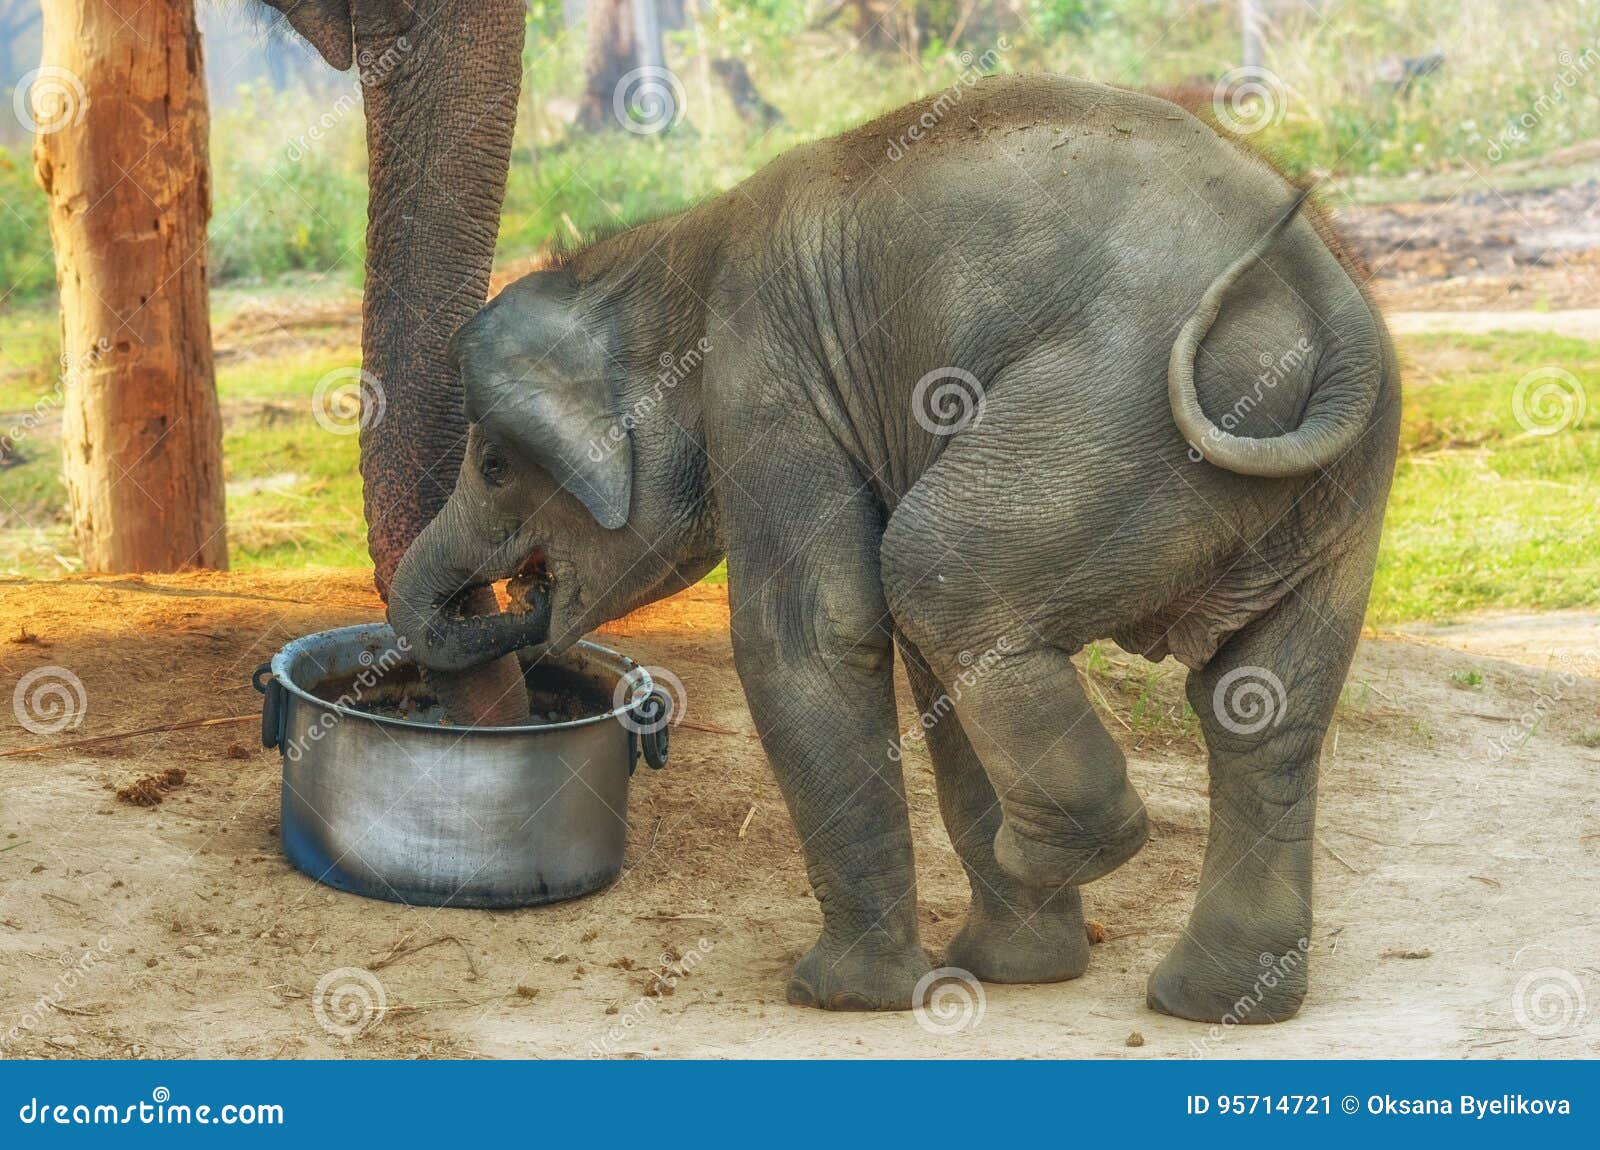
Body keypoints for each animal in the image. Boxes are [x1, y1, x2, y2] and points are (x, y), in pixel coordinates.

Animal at [384, 72, 1401, 1024]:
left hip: (1126, 421)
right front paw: (1013, 973)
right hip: (1330, 485)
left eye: (493, 466)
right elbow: (916, 666)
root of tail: (1317, 285)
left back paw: (1065, 857)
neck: (672, 242)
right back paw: (1211, 999)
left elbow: (813, 635)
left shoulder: (766, 371)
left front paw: (841, 996)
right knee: (1258, 703)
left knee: (938, 572)